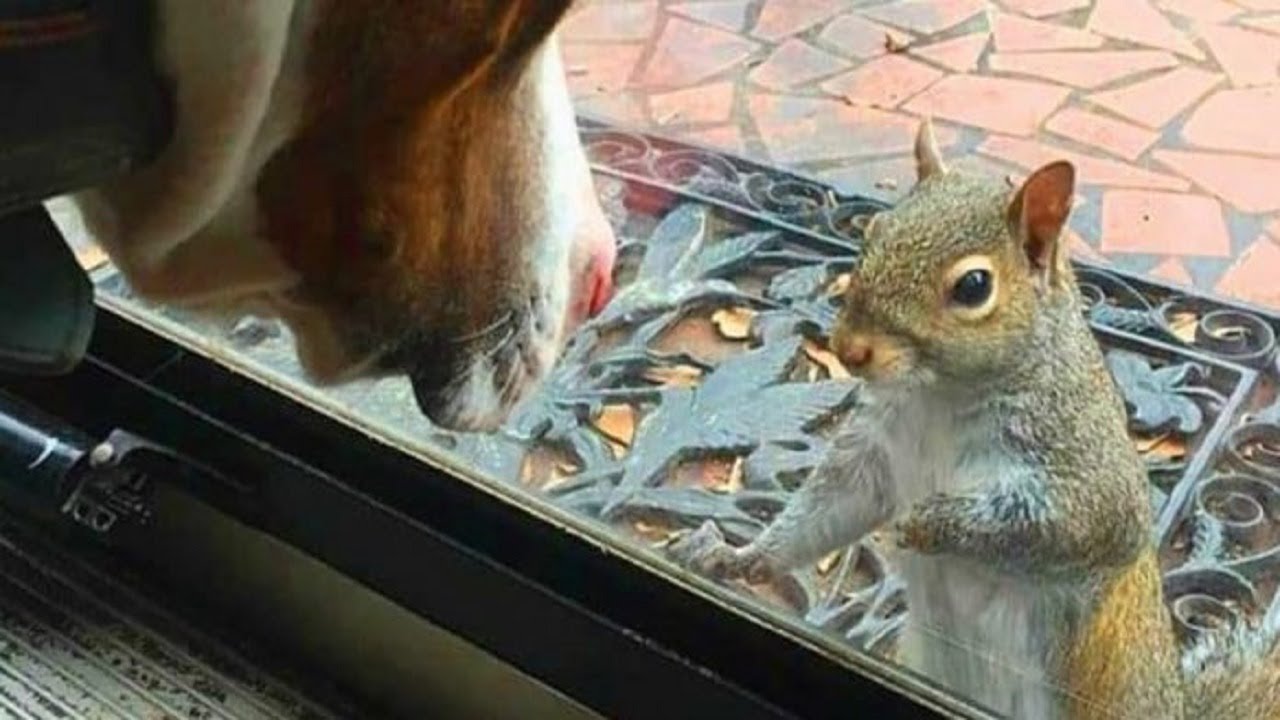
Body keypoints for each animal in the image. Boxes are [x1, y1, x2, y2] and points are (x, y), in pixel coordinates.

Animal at [667, 120, 1280, 719]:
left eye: (973, 286)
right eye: (874, 231)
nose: (849, 350)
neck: (940, 395)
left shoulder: (1082, 460)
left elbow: (1070, 522)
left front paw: (926, 521)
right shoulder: (875, 452)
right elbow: (829, 508)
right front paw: (743, 557)